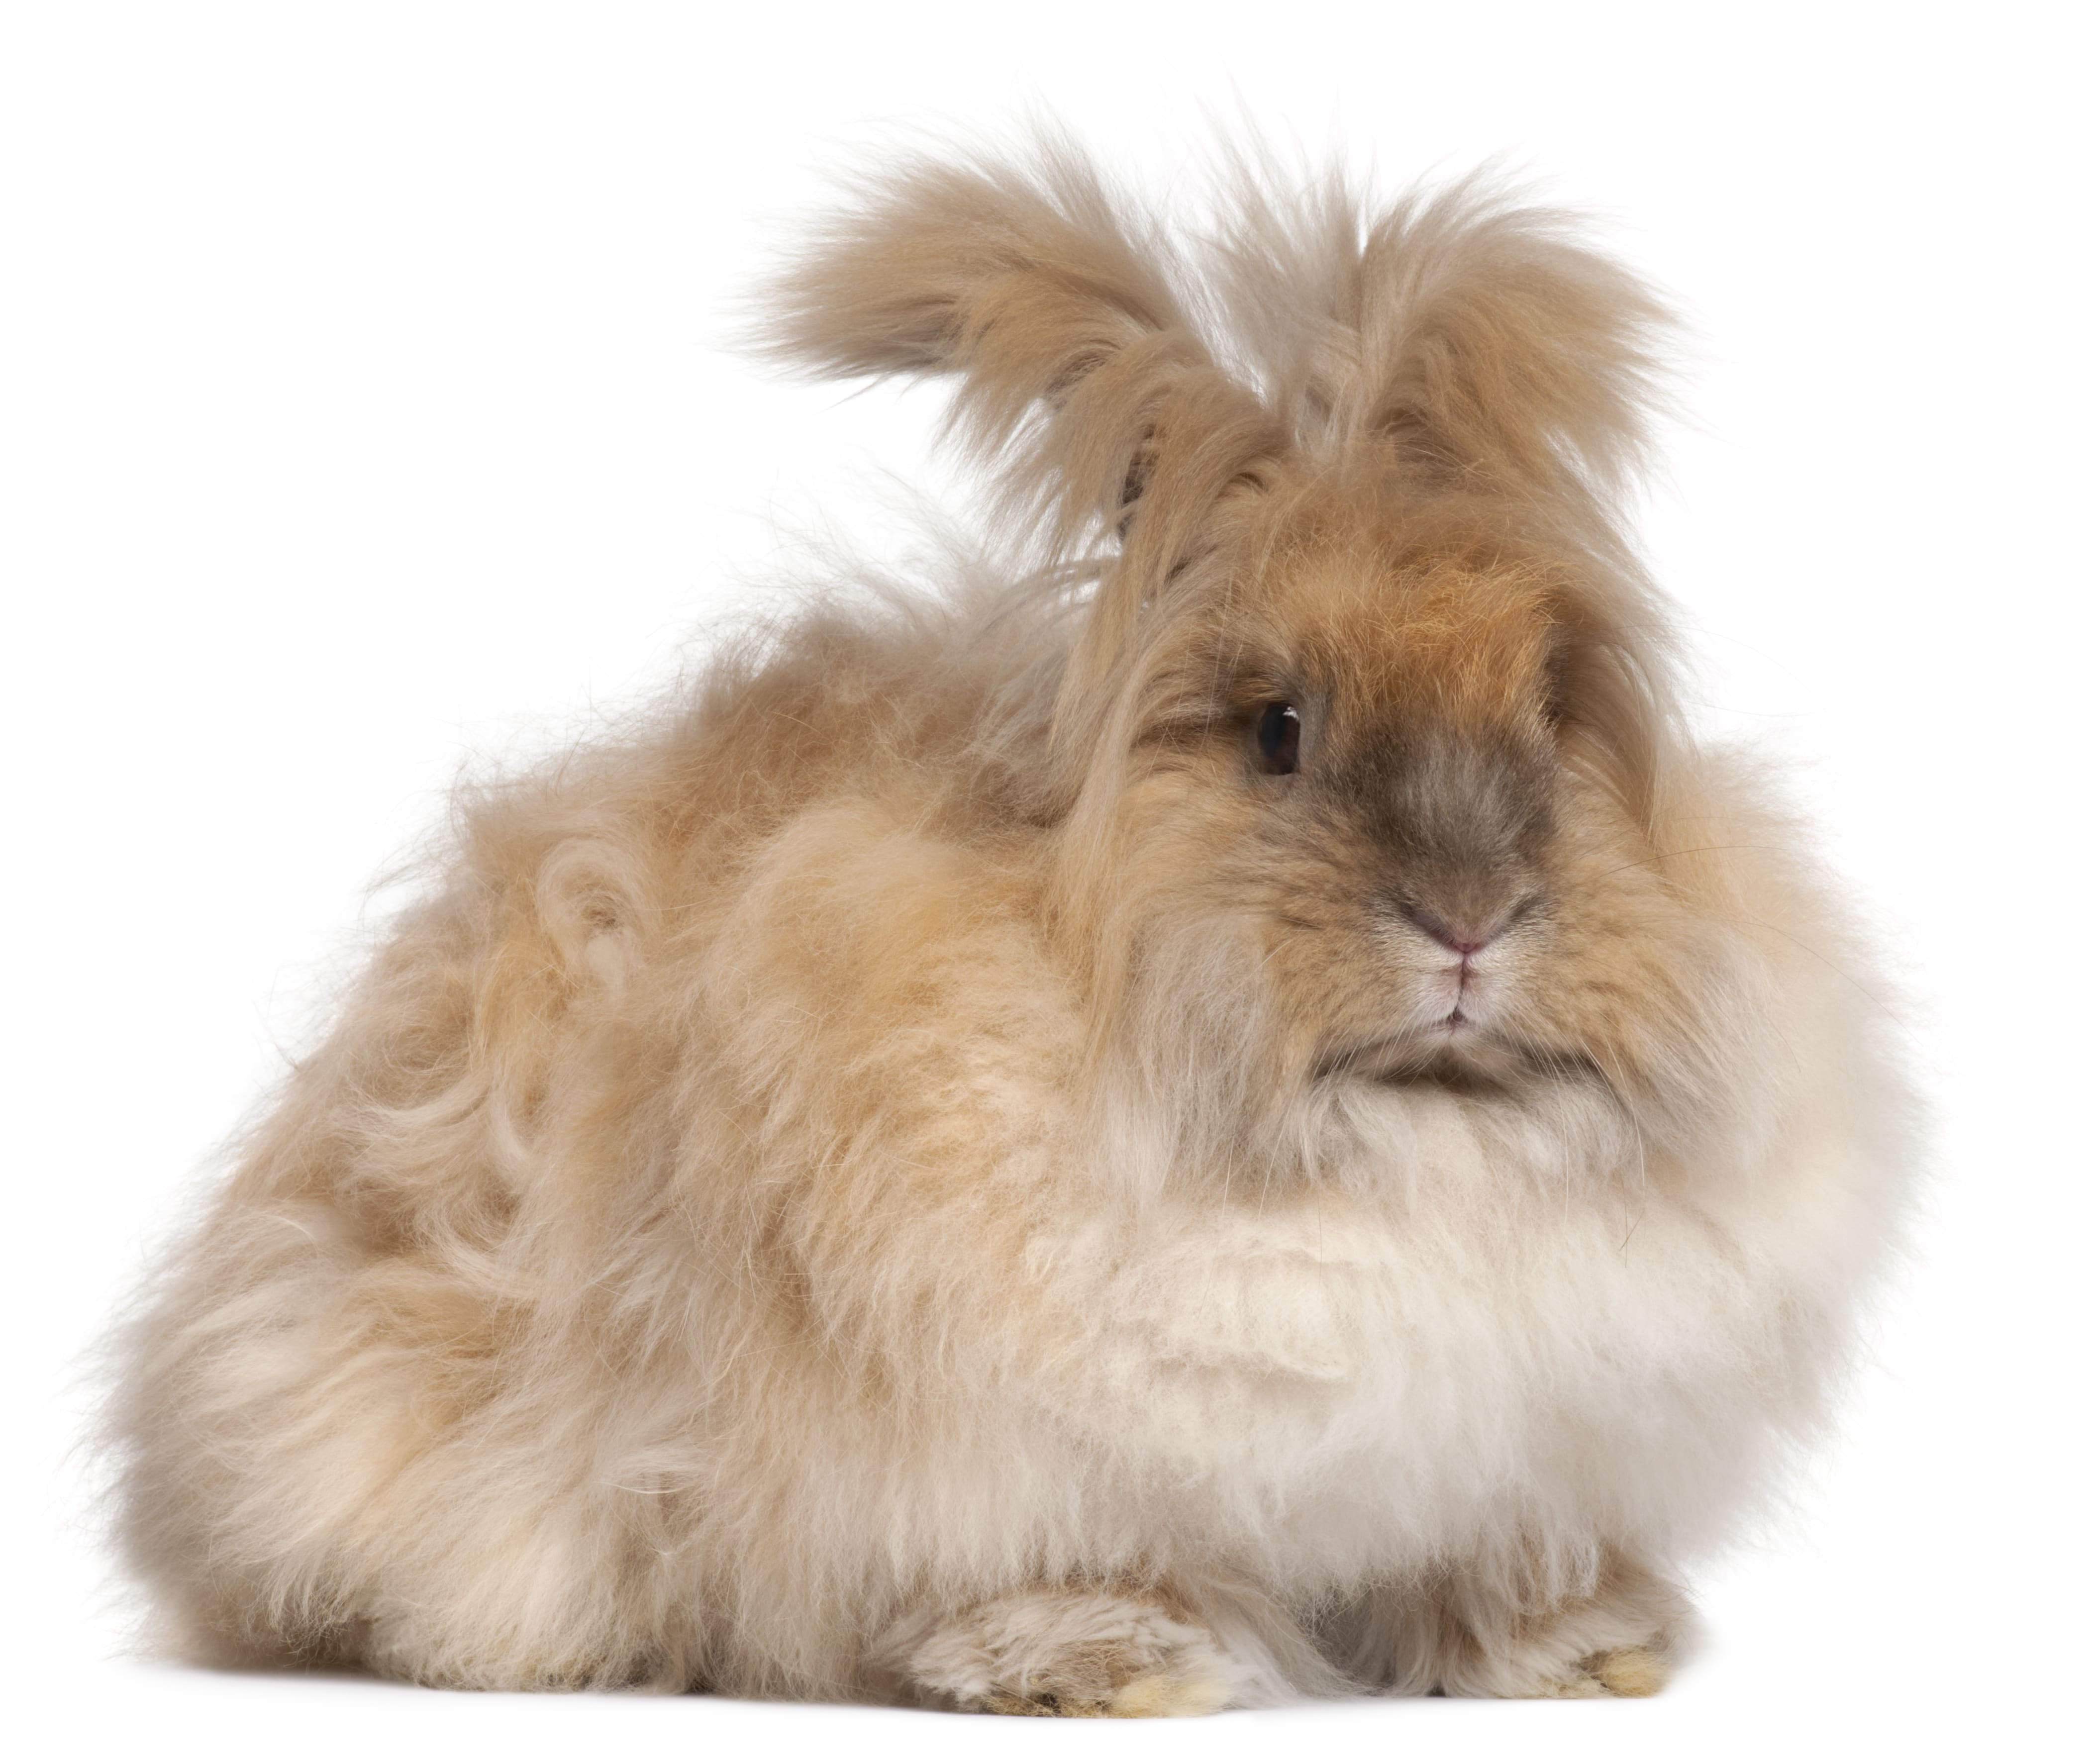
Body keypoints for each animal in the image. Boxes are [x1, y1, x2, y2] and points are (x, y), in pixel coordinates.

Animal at [103, 132, 1912, 1714]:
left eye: (1547, 710)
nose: (1470, 916)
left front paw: (1576, 1647)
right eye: (1277, 729)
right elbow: (1036, 1558)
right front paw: (1123, 1665)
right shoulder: (972, 1446)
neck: (1403, 1161)